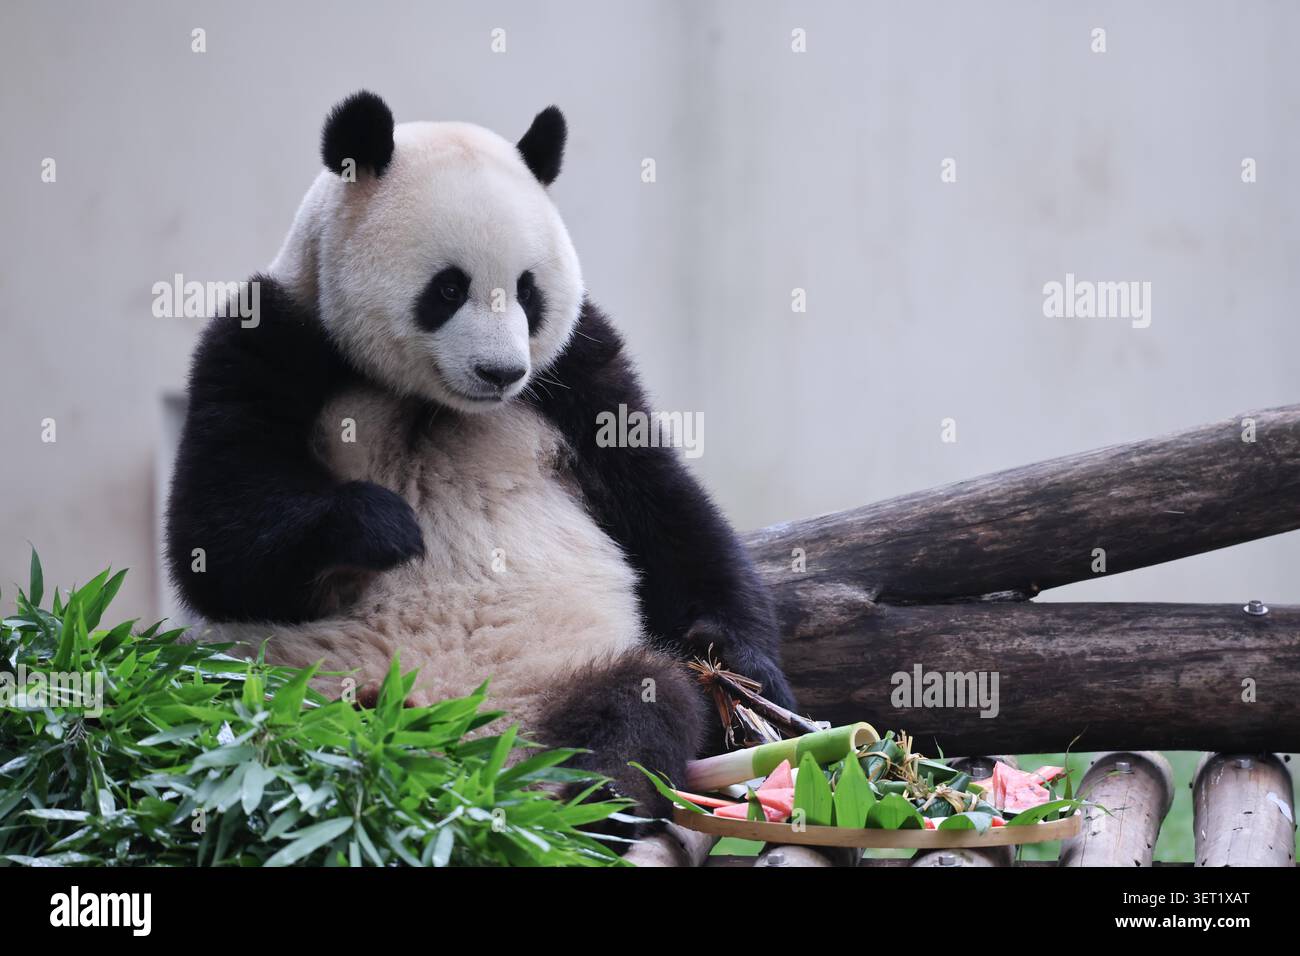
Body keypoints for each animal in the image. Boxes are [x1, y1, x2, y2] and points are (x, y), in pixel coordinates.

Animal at [165, 91, 796, 835]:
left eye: (527, 290)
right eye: (448, 288)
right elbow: (216, 537)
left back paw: (596, 799)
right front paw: (383, 527)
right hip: (280, 678)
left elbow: (663, 507)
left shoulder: (577, 375)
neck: (433, 402)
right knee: (210, 703)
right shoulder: (270, 339)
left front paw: (748, 672)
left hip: (557, 675)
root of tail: (463, 760)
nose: (501, 373)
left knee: (649, 698)